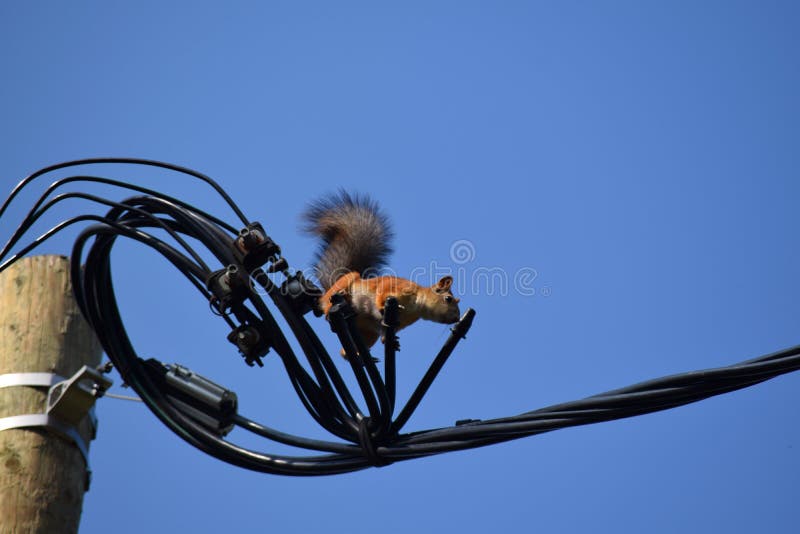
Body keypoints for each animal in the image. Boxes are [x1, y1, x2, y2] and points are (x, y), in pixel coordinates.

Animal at [302, 191, 461, 355]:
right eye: (448, 299)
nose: (457, 318)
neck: (417, 306)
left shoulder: (396, 324)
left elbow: (386, 333)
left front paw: (393, 343)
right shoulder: (397, 287)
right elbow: (382, 292)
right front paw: (382, 307)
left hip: (369, 333)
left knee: (345, 351)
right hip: (345, 284)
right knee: (330, 301)